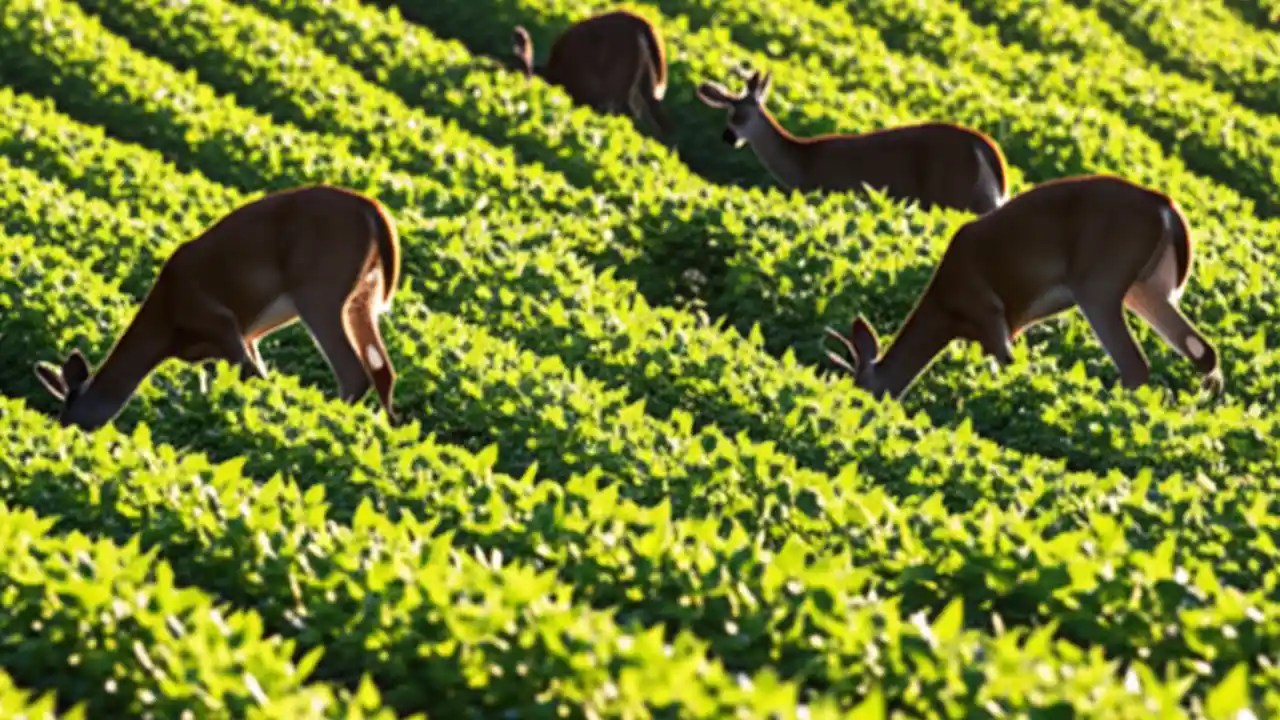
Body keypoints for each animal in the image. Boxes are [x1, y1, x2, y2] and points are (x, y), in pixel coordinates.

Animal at [32, 185, 402, 431]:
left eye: (72, 421)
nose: (64, 436)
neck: (168, 327)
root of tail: (374, 210)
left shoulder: (221, 322)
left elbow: (255, 377)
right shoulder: (241, 338)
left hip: (319, 291)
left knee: (355, 373)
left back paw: (325, 426)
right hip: (362, 296)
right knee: (383, 369)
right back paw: (384, 430)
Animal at [696, 69, 1008, 215]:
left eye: (741, 116)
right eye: (729, 113)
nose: (727, 137)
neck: (802, 161)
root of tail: (989, 150)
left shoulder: (827, 188)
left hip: (958, 193)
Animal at [823, 174, 1223, 400]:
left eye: (859, 393)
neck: (948, 310)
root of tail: (1166, 209)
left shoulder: (991, 317)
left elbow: (1010, 364)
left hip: (1101, 284)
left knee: (1137, 366)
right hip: (1145, 287)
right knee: (1203, 351)